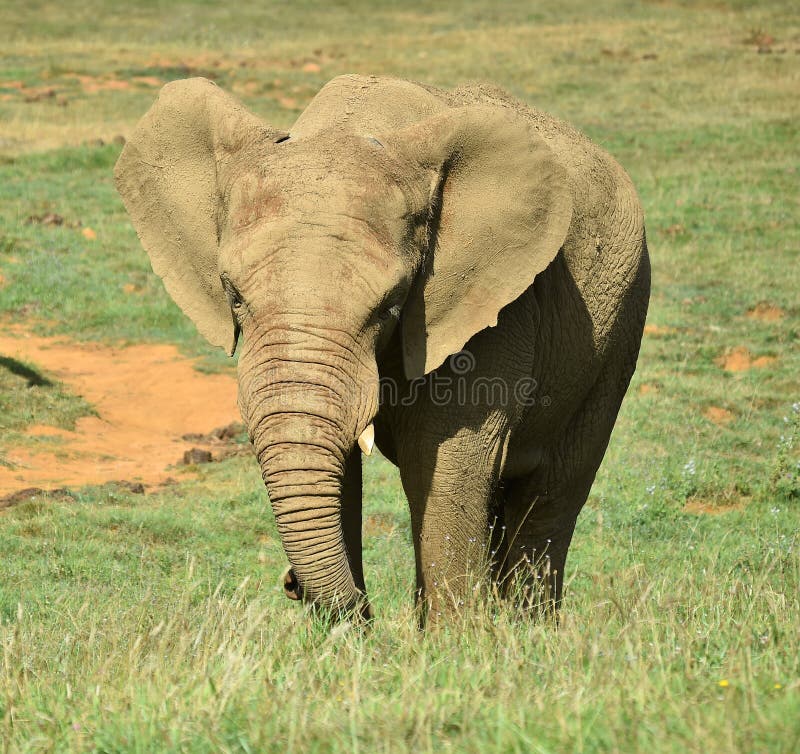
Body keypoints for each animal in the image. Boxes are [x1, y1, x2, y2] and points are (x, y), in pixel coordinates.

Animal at [115, 74, 649, 624]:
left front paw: (455, 641)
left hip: (621, 321)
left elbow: (445, 460)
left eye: (390, 304)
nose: (290, 584)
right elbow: (343, 473)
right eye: (234, 295)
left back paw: (529, 631)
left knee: (550, 497)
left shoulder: (496, 308)